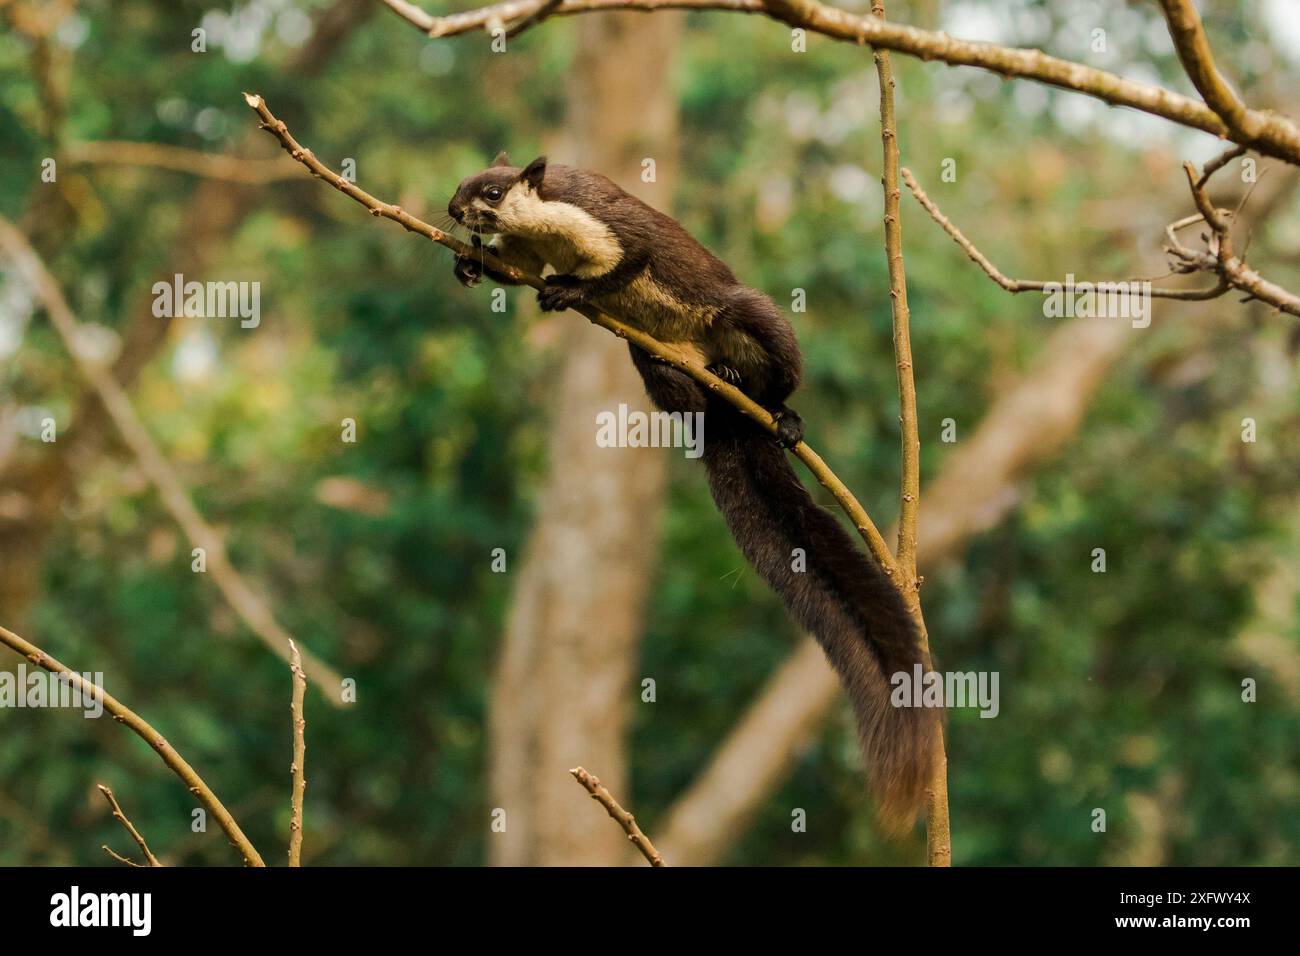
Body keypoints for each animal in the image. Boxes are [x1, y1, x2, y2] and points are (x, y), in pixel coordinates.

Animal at [448, 153, 937, 833]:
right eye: (464, 186)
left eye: (492, 191)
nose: (450, 209)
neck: (544, 222)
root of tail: (732, 404)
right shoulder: (527, 251)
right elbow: (512, 267)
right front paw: (470, 264)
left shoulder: (607, 224)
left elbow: (628, 261)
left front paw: (569, 291)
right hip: (652, 360)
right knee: (687, 395)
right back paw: (717, 387)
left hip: (750, 317)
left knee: (775, 375)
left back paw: (782, 415)